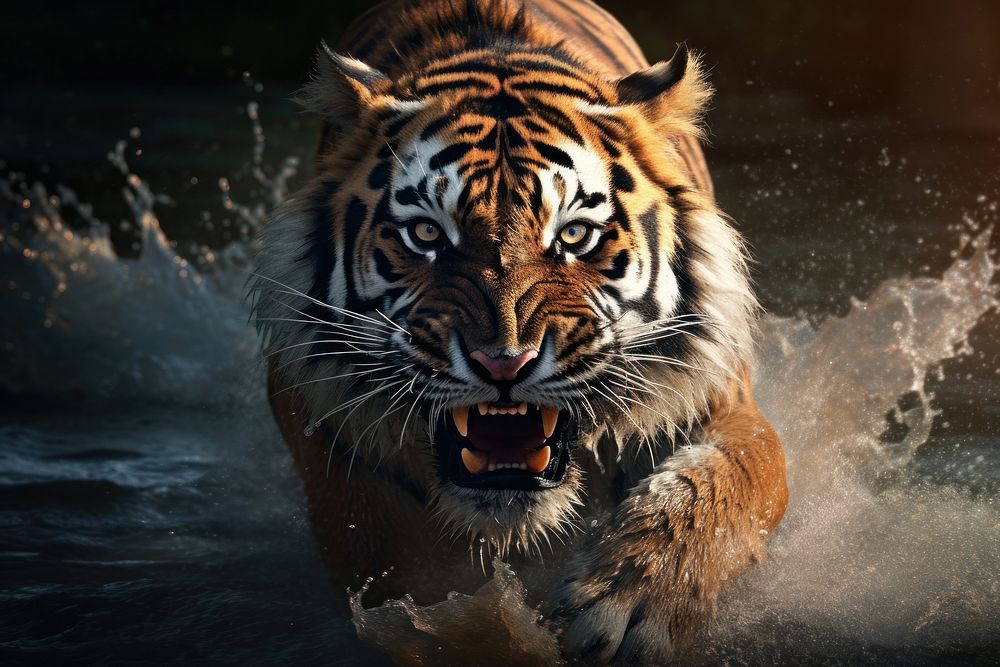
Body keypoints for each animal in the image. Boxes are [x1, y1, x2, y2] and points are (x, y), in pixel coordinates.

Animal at [250, 0, 788, 662]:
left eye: (575, 235)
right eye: (426, 234)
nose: (503, 362)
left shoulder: (720, 396)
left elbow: (725, 481)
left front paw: (630, 602)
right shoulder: (326, 429)